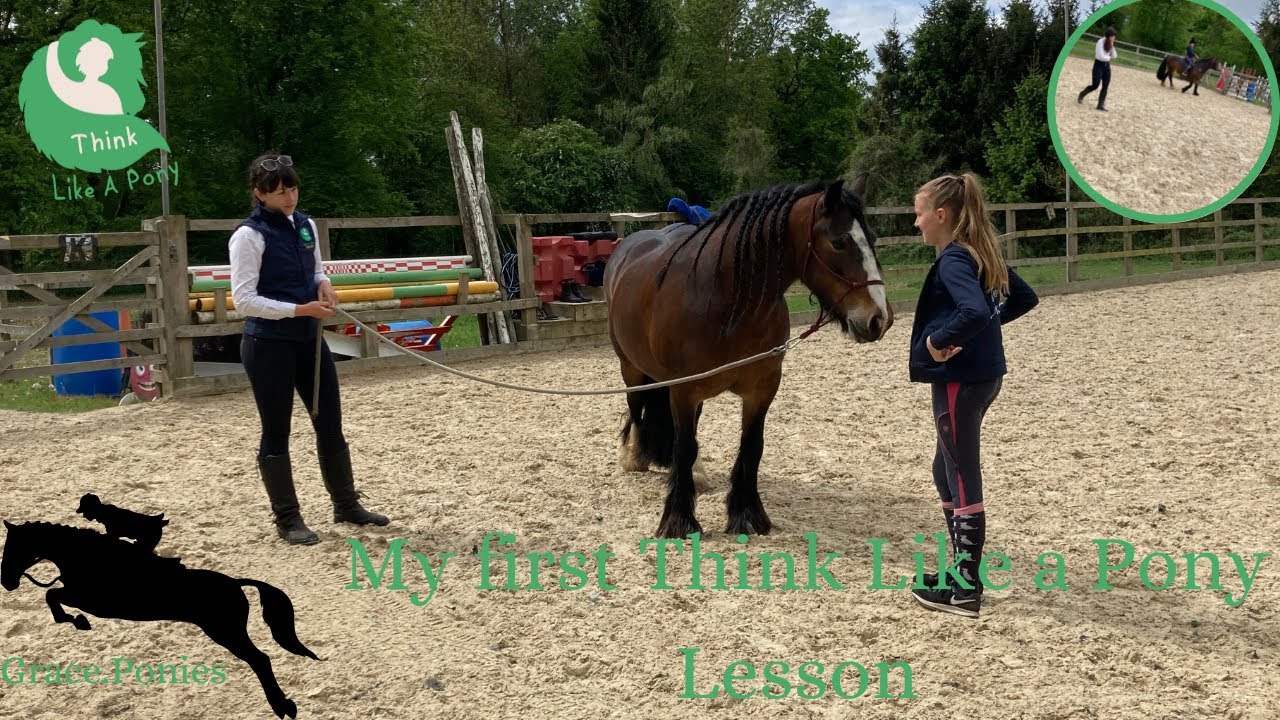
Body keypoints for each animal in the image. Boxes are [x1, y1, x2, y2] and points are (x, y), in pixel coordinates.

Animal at [1, 519, 317, 719]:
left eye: (14, 548)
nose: (7, 583)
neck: (92, 557)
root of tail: (235, 584)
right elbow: (52, 595)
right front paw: (75, 621)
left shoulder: (89, 600)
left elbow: (51, 595)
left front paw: (77, 621)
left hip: (226, 633)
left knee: (260, 660)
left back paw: (283, 707)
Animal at [604, 175, 893, 539]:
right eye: (839, 243)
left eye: (872, 239)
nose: (879, 319)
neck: (724, 302)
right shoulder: (683, 390)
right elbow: (683, 447)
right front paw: (679, 520)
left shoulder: (762, 388)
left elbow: (751, 446)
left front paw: (747, 514)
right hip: (632, 369)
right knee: (636, 407)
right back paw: (633, 456)